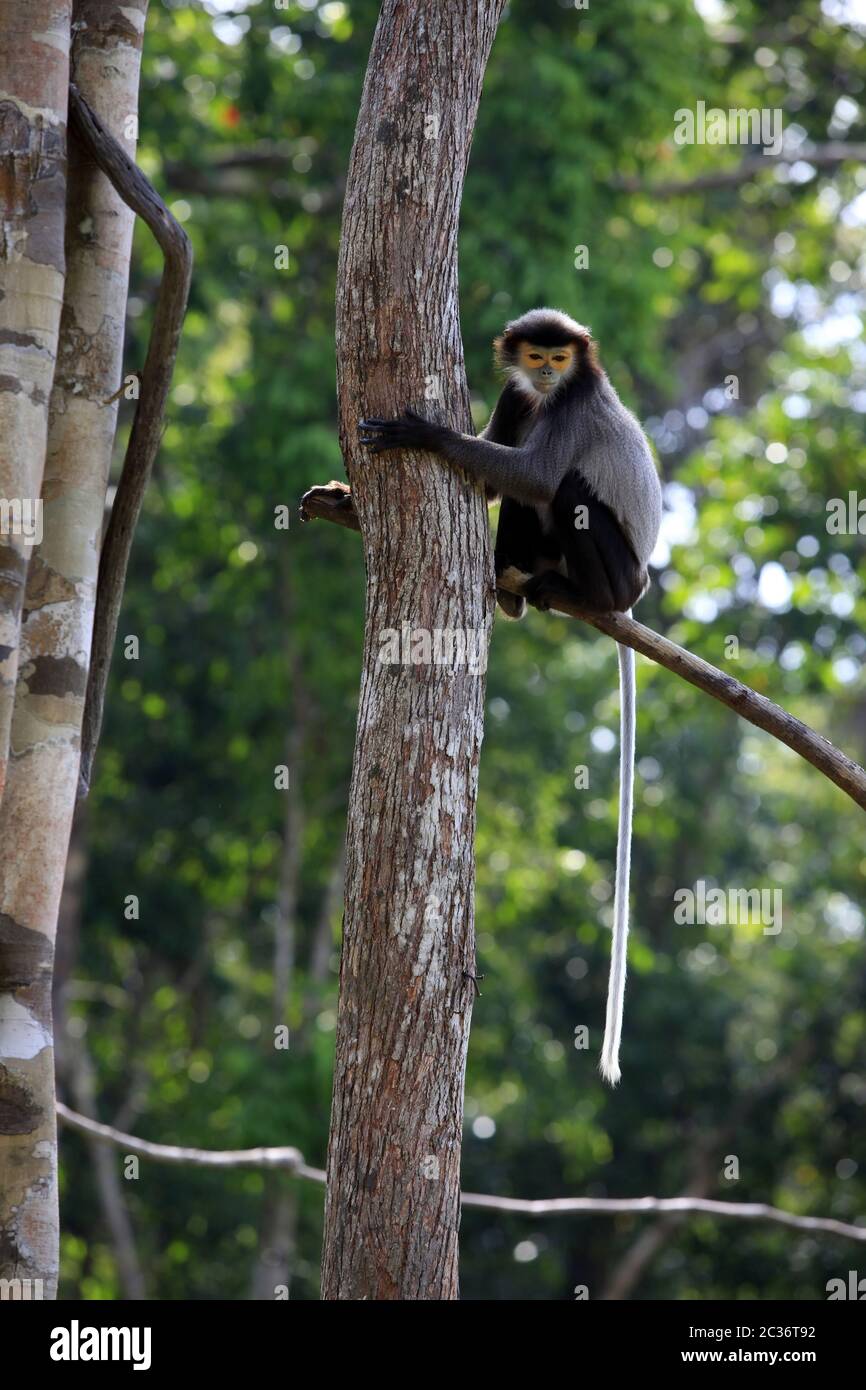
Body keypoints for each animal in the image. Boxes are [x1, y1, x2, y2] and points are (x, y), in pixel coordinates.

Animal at [359, 308, 662, 1085]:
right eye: (535, 356)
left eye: (560, 357)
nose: (547, 374)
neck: (555, 391)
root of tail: (636, 591)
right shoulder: (522, 394)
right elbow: (502, 485)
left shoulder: (573, 405)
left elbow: (536, 475)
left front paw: (429, 437)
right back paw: (513, 583)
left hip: (620, 572)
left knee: (568, 489)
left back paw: (568, 590)